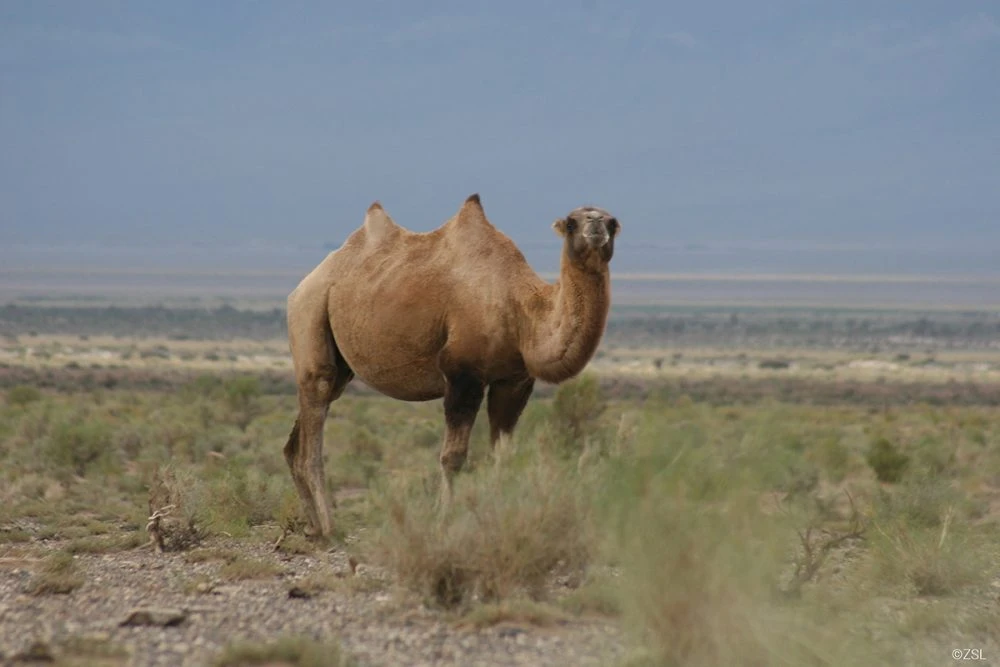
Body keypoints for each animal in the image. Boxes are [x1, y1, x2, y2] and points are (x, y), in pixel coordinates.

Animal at [284, 194, 620, 538]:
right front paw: (443, 522)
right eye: (571, 223)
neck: (520, 311)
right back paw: (330, 528)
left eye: (613, 223)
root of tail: (303, 285)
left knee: (294, 444)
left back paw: (313, 527)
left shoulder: (514, 381)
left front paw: (497, 519)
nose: (596, 224)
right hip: (310, 313)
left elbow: (502, 455)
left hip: (339, 358)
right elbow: (453, 457)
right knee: (313, 422)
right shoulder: (463, 374)